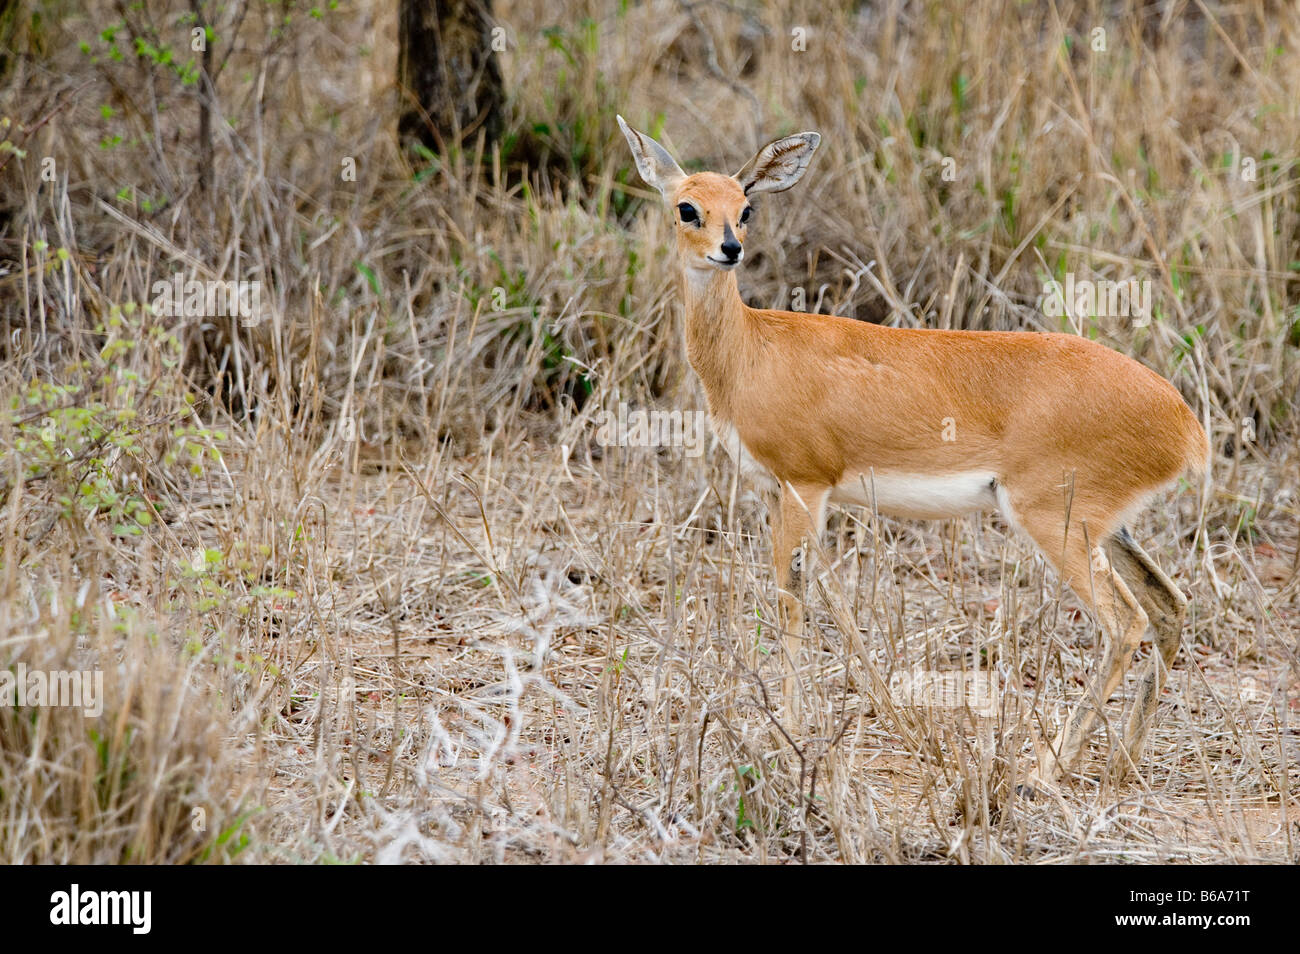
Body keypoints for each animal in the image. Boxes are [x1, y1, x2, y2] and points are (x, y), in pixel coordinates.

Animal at [616, 115, 1210, 785]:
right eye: (687, 206)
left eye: (746, 208)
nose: (730, 249)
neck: (752, 349)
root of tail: (1184, 420)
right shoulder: (786, 492)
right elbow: (829, 598)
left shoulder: (804, 485)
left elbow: (793, 601)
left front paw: (790, 734)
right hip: (1106, 527)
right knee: (1169, 606)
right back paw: (1121, 763)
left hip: (1053, 521)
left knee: (1125, 622)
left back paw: (1044, 768)